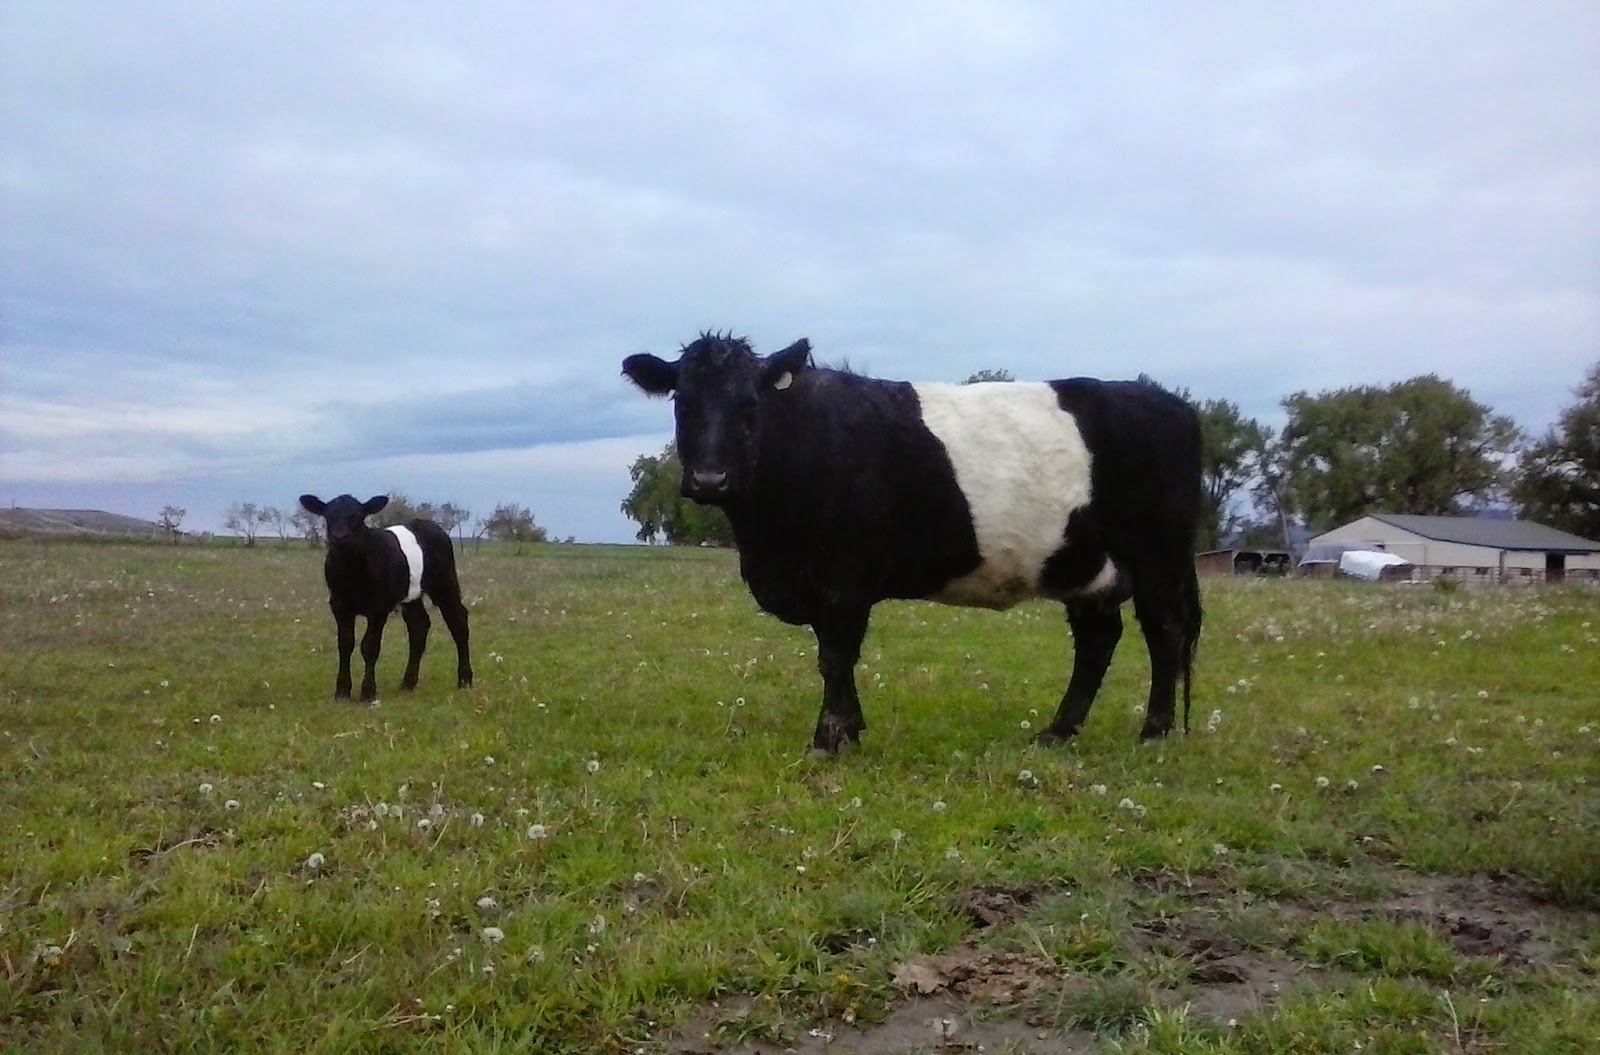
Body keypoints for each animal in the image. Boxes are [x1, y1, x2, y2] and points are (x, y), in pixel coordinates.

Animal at [297, 493, 473, 702]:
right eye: (328, 516)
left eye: (358, 517)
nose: (339, 537)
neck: (351, 573)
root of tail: (428, 525)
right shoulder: (339, 605)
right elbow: (345, 644)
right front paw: (342, 692)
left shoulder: (378, 607)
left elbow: (369, 646)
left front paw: (368, 693)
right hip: (411, 595)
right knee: (419, 626)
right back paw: (408, 683)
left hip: (445, 582)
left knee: (458, 622)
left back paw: (465, 680)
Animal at [622, 332, 1202, 755]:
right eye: (682, 402)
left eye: (749, 405)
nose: (709, 480)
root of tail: (1169, 402)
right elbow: (836, 657)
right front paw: (851, 729)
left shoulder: (843, 579)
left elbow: (835, 656)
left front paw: (829, 740)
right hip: (1084, 565)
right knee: (1098, 640)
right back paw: (1055, 734)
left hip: (1159, 555)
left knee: (1164, 632)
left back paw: (1154, 732)